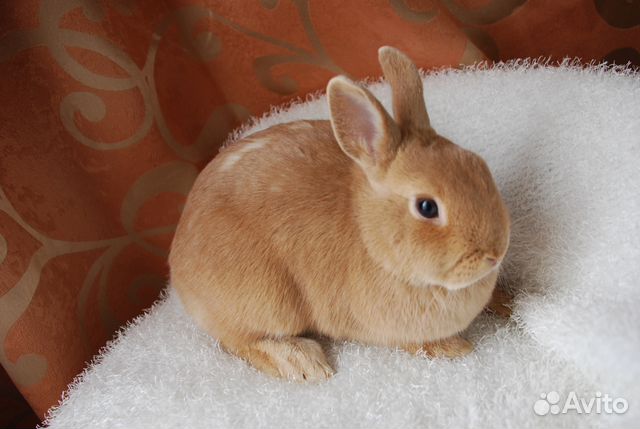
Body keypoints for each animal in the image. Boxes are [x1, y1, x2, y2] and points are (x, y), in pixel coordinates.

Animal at [169, 46, 511, 382]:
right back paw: (303, 362)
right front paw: (454, 347)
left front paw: (507, 301)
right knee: (238, 341)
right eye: (427, 207)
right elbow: (415, 344)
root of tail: (177, 262)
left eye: (478, 165)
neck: (372, 238)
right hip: (267, 301)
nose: (495, 254)